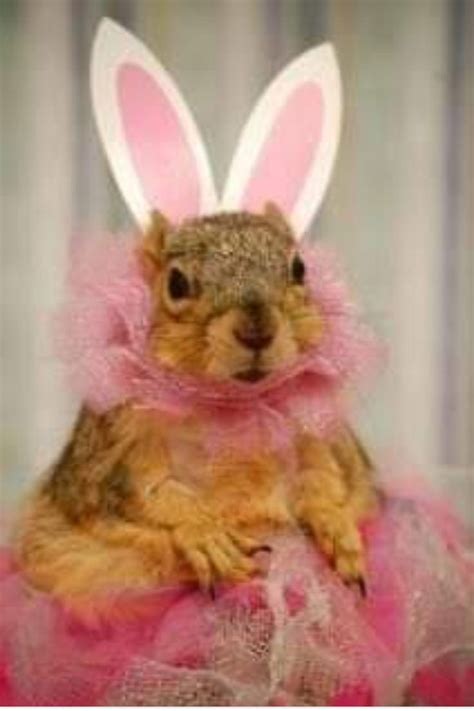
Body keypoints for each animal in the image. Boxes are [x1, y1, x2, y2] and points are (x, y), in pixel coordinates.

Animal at [15, 204, 378, 614]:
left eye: (300, 268)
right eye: (176, 283)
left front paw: (335, 526)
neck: (233, 404)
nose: (256, 331)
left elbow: (324, 478)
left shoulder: (315, 434)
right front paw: (205, 534)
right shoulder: (113, 454)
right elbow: (151, 497)